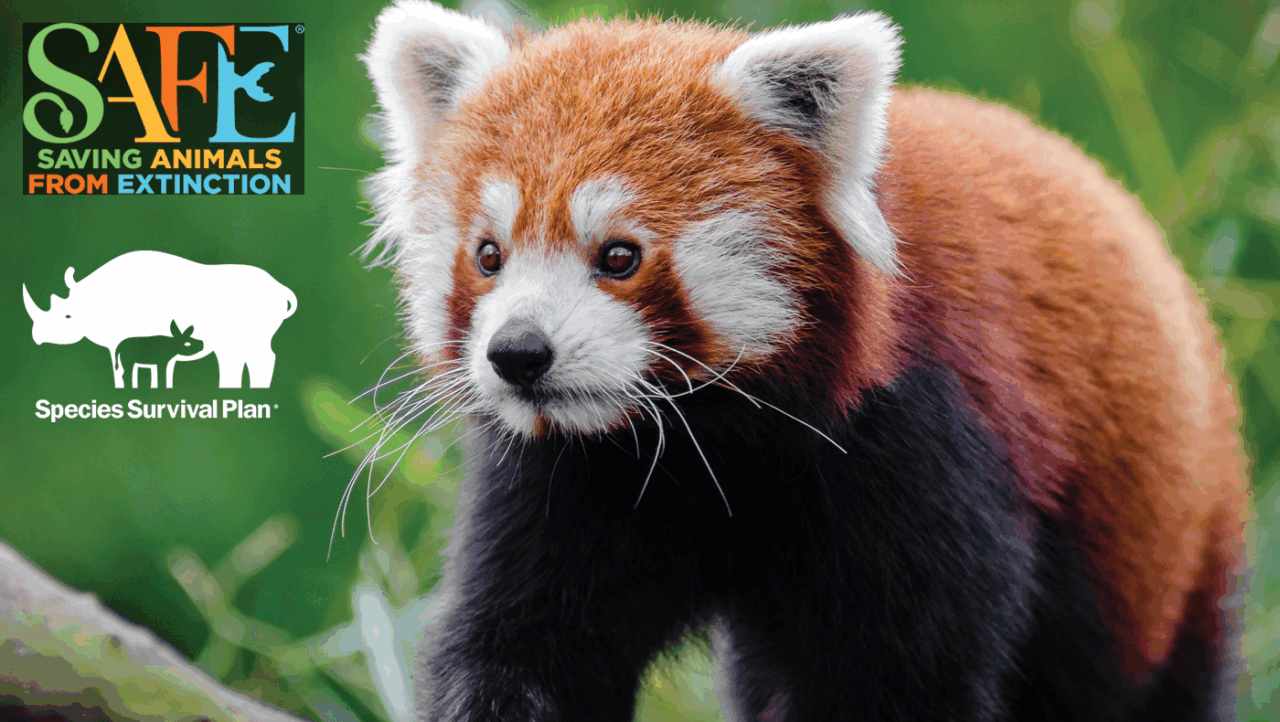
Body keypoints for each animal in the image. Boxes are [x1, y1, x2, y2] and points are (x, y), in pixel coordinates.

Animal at [357, 2, 1252, 720]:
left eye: (618, 256)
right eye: (488, 256)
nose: (518, 354)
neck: (710, 440)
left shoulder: (922, 447)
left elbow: (899, 676)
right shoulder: (566, 482)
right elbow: (522, 651)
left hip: (1165, 557)